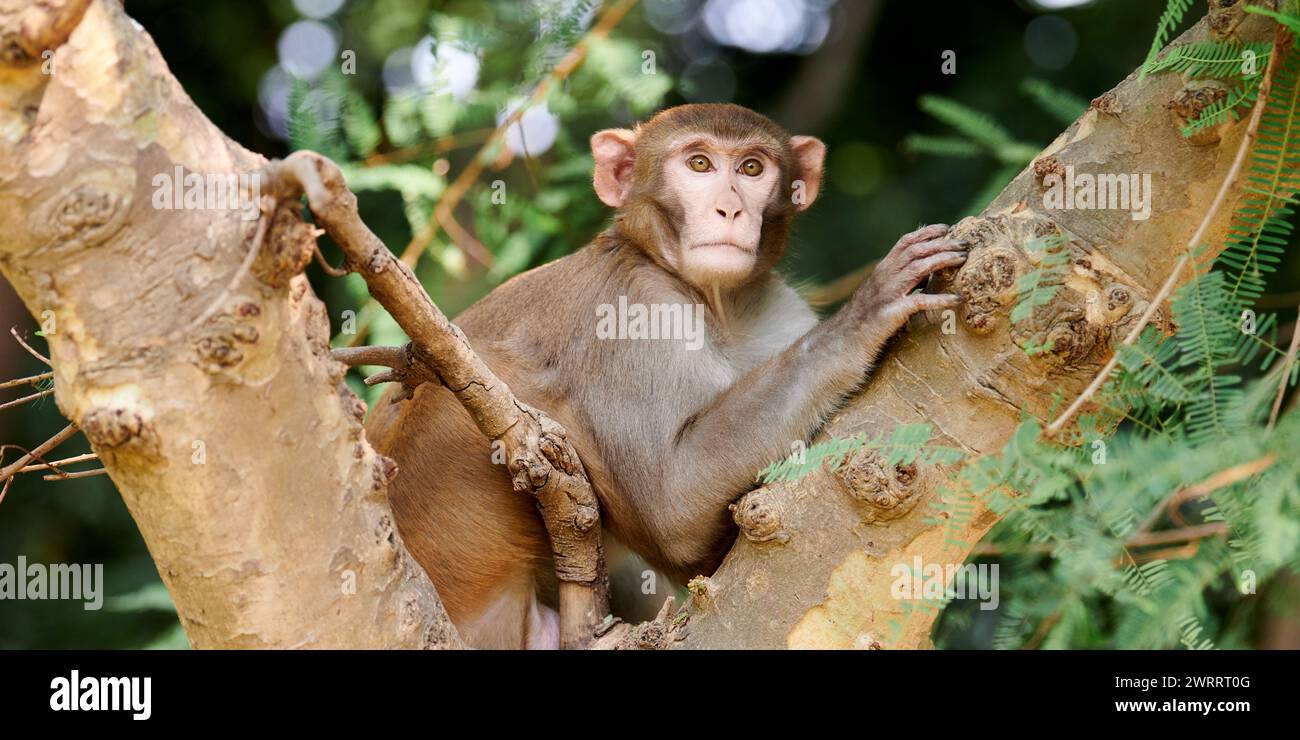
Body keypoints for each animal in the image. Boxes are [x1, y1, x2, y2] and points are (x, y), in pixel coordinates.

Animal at [363, 103, 967, 649]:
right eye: (699, 164)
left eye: (752, 168)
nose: (729, 209)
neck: (713, 302)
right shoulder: (630, 309)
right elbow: (670, 504)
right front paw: (866, 312)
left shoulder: (775, 309)